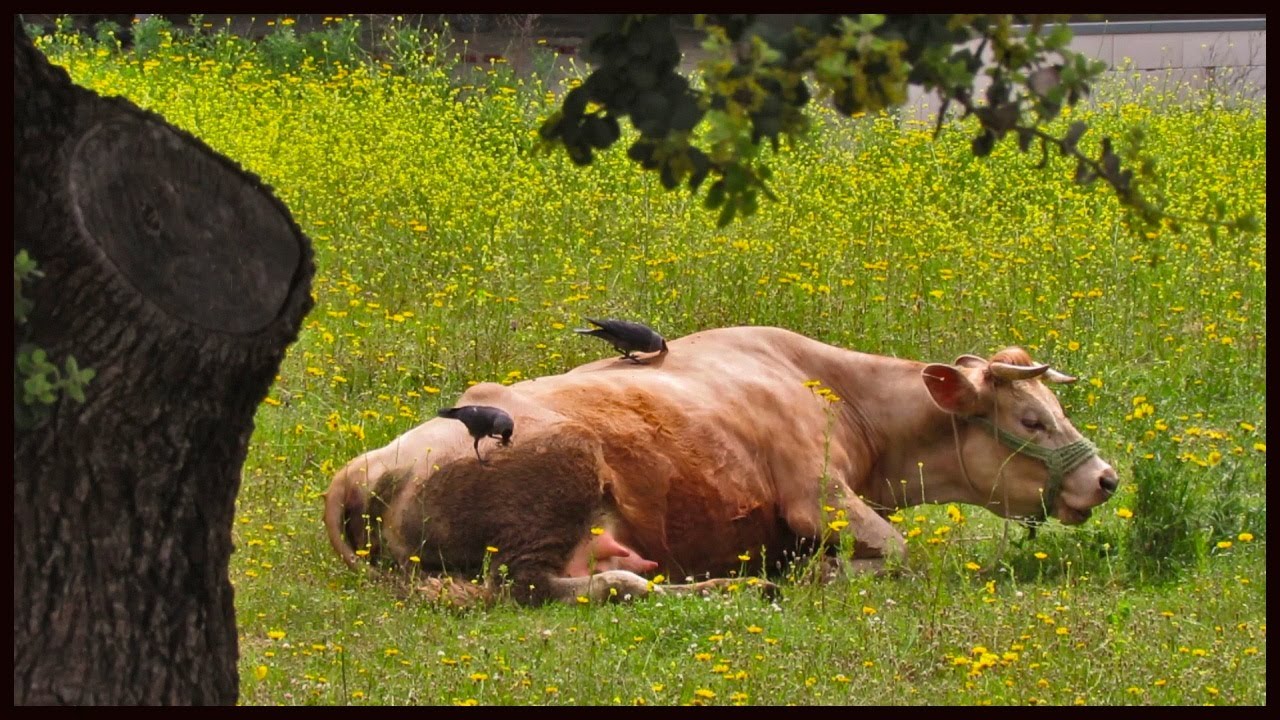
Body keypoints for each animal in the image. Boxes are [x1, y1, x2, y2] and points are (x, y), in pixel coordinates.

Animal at [324, 326, 1118, 605]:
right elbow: (896, 553)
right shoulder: (817, 493)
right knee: (542, 586)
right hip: (555, 483)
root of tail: (371, 462)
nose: (1105, 478)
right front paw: (818, 574)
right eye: (1031, 420)